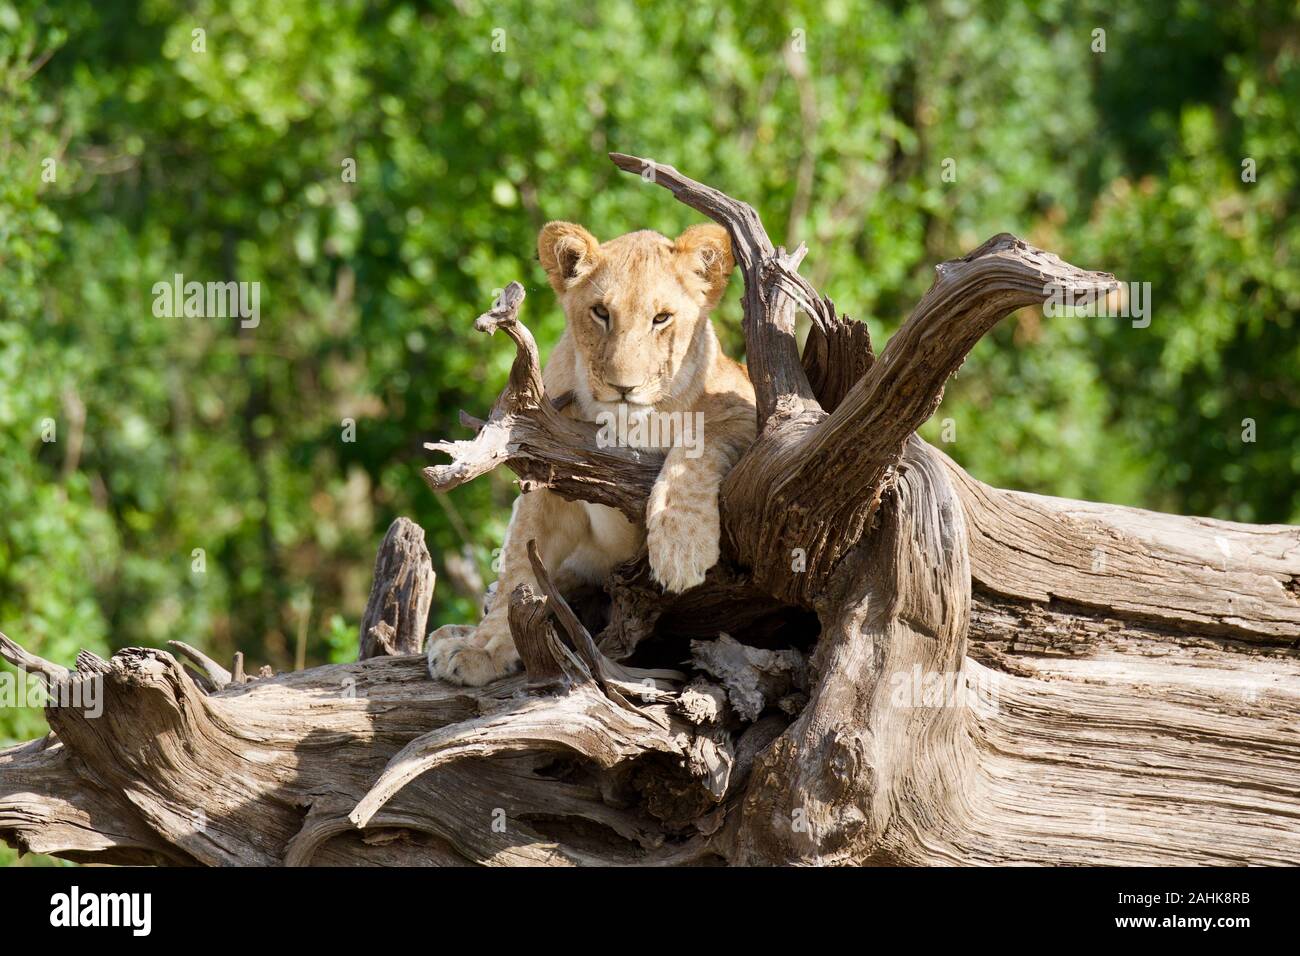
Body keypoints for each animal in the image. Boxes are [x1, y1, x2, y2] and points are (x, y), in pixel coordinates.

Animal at [427, 221, 757, 686]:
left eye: (661, 319)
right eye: (601, 313)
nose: (624, 386)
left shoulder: (751, 409)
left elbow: (700, 440)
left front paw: (681, 547)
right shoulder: (543, 471)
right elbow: (519, 563)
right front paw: (483, 647)